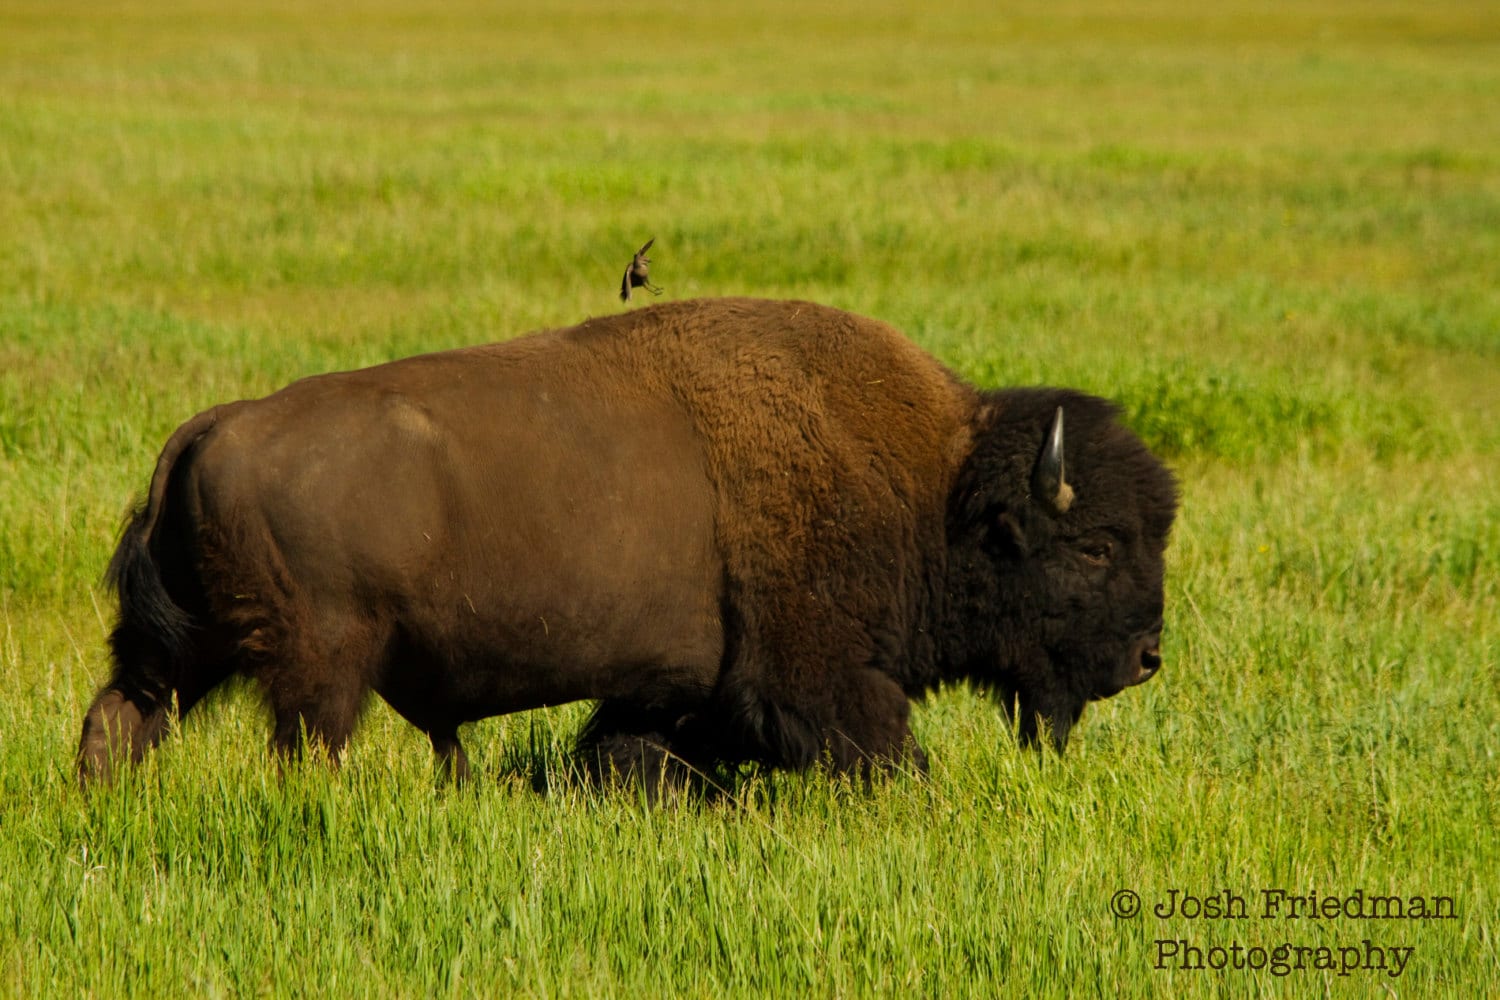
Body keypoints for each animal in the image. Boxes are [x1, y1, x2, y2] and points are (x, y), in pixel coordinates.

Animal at [78, 297, 1177, 788]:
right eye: (1094, 548)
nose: (1146, 657)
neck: (934, 486)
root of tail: (214, 427)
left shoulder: (671, 690)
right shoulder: (817, 675)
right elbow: (882, 750)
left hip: (187, 647)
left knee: (122, 715)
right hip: (320, 663)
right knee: (305, 748)